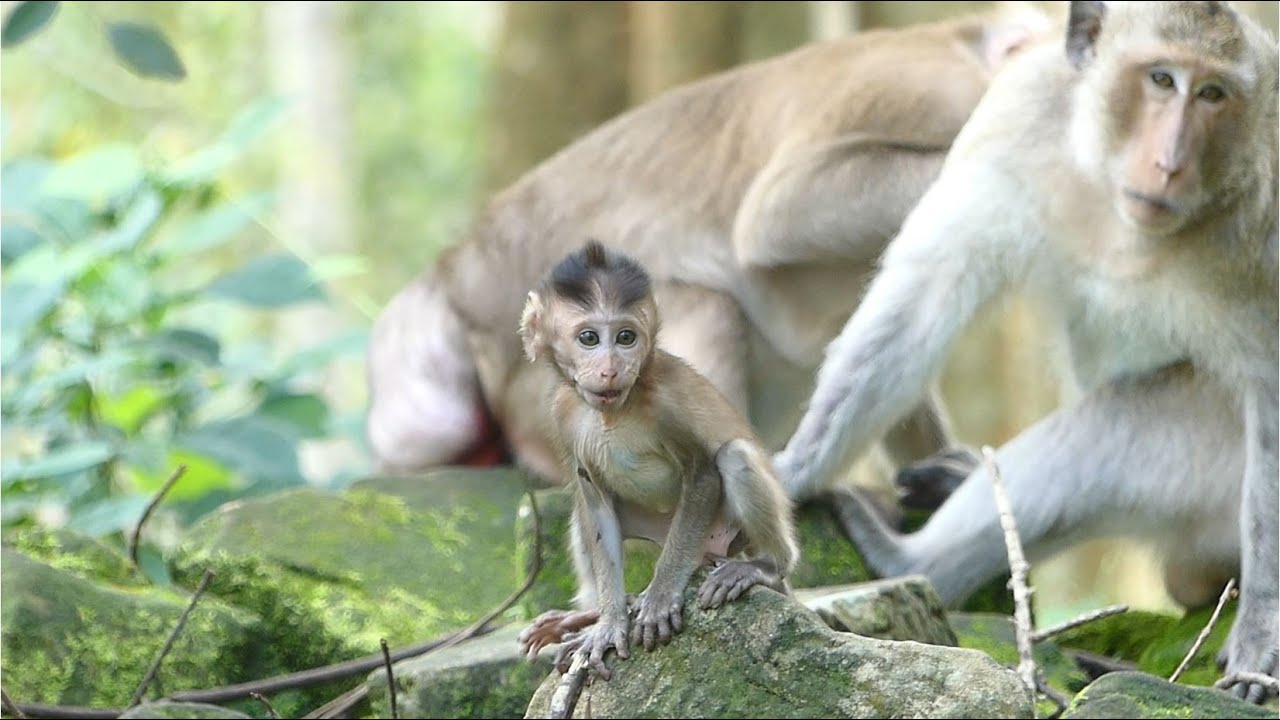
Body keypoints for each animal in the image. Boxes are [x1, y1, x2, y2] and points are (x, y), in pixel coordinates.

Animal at [512, 240, 800, 680]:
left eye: (626, 337)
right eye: (589, 338)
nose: (611, 369)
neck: (614, 413)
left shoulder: (666, 408)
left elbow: (703, 475)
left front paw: (660, 598)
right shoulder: (561, 412)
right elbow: (593, 499)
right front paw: (609, 623)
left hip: (724, 535)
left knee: (734, 457)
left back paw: (766, 566)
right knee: (582, 510)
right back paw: (583, 618)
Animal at [772, 1, 1278, 702]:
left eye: (1212, 94)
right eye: (1161, 79)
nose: (1171, 162)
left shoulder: (1259, 223)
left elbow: (1270, 385)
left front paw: (1262, 631)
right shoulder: (1021, 111)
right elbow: (922, 299)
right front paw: (792, 472)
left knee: (1112, 430)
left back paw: (906, 559)